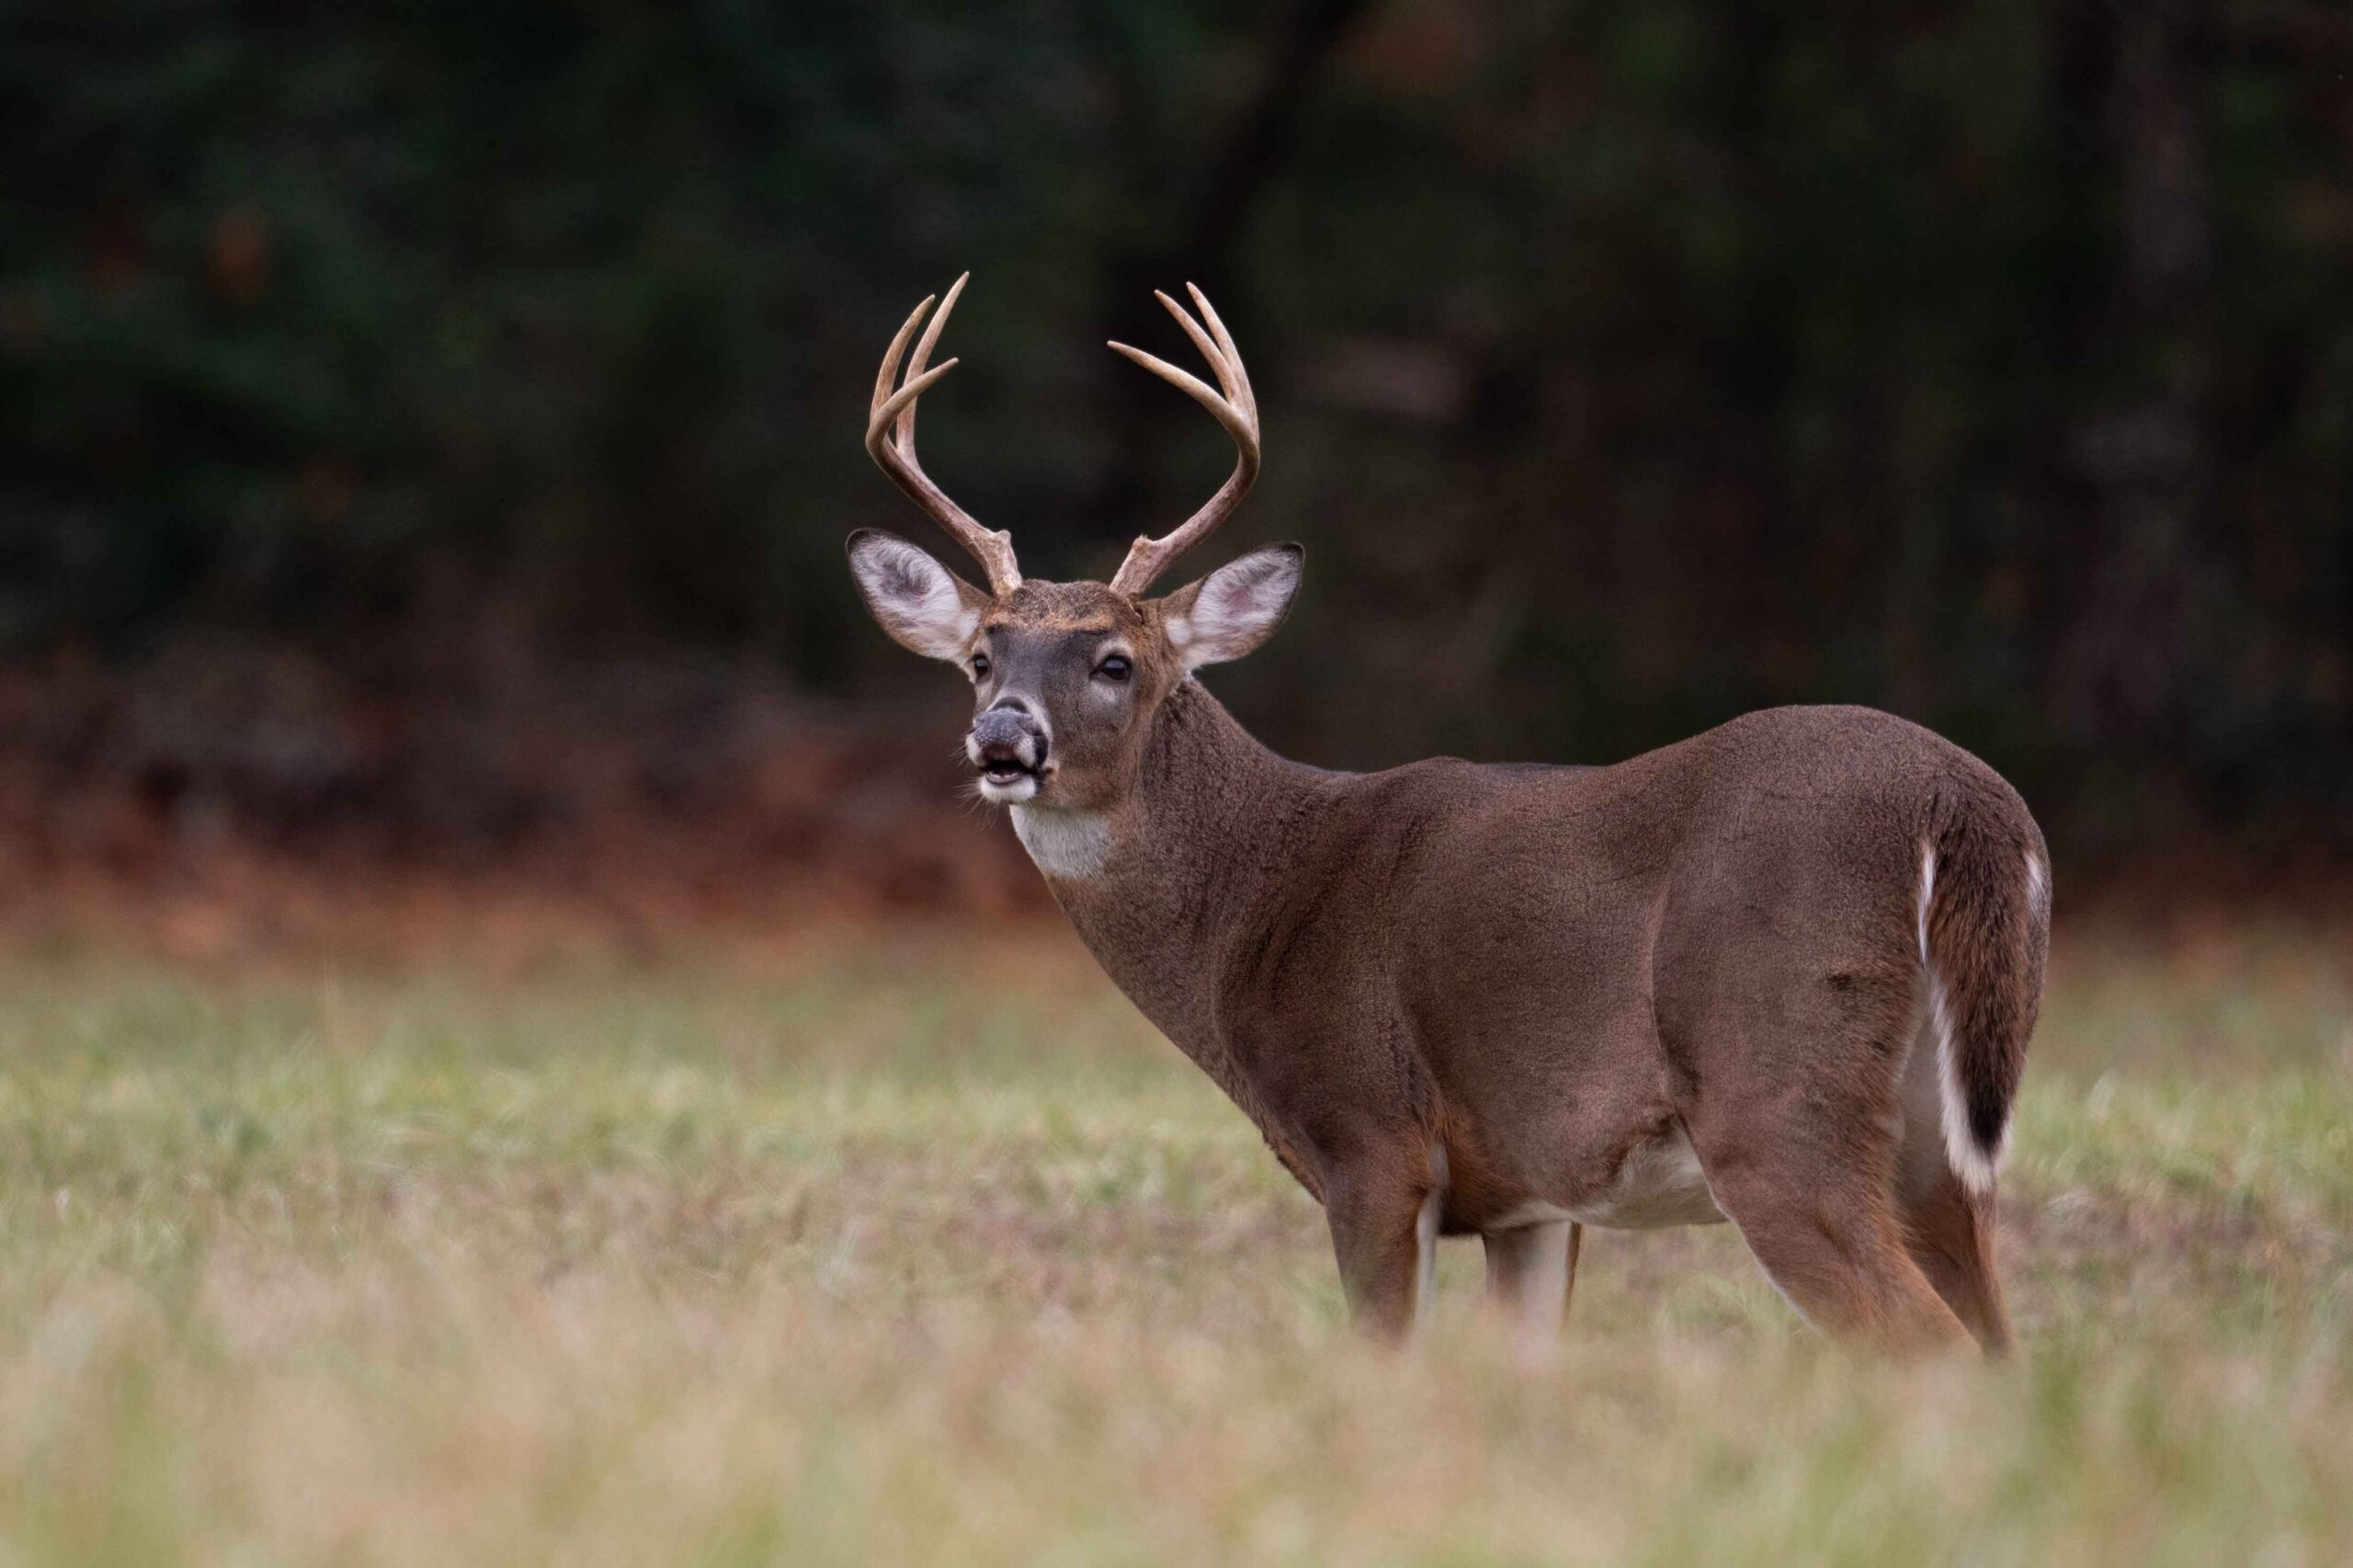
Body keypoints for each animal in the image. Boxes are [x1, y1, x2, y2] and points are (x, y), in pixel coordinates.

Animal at [844, 274, 2051, 1354]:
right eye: (980, 655)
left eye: (1114, 661)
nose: (1004, 739)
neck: (1253, 905)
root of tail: (1966, 803)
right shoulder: (1530, 1194)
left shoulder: (1372, 1137)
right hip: (1935, 1139)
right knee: (2001, 1345)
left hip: (1777, 1093)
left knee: (1924, 1346)